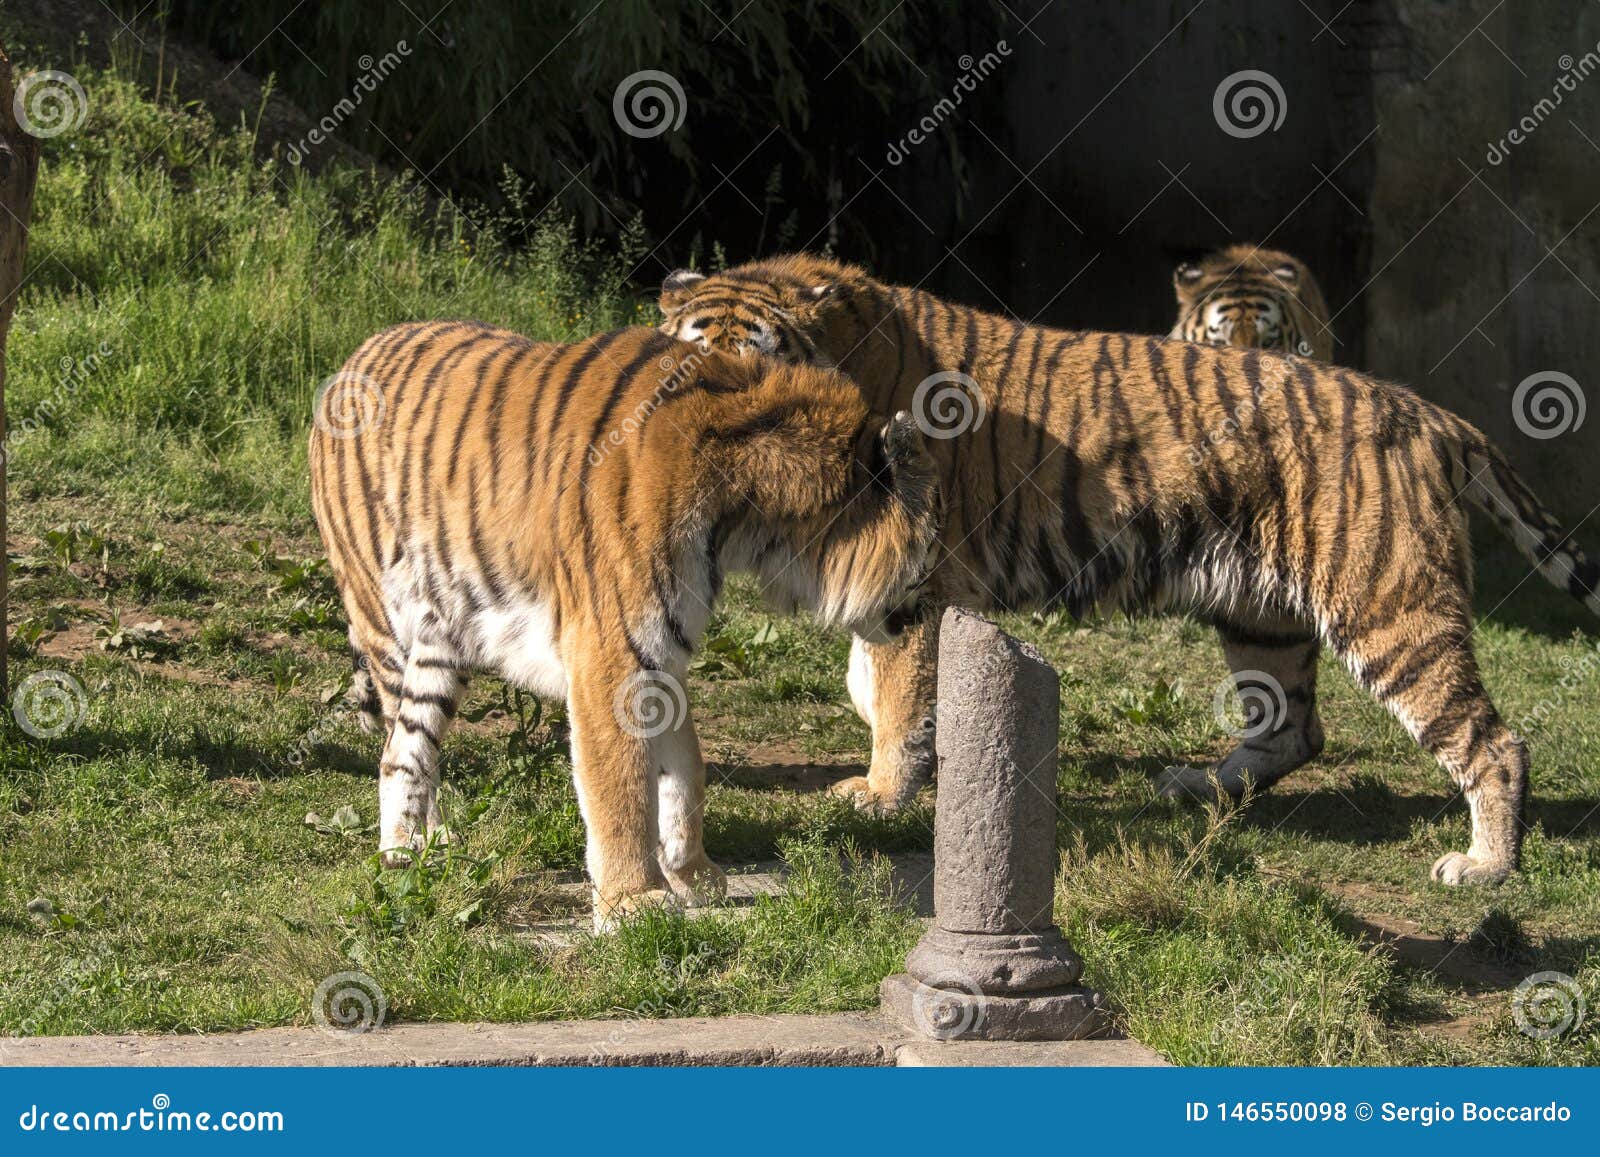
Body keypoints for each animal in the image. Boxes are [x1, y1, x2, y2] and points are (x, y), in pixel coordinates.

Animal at [309, 321, 941, 928]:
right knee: (400, 736)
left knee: (402, 751)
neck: (748, 522)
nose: (935, 613)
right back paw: (419, 848)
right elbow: (621, 786)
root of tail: (351, 359)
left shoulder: (662, 652)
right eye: (935, 545)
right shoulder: (609, 655)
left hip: (444, 637)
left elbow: (684, 767)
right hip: (385, 621)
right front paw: (633, 901)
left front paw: (693, 873)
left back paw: (416, 851)